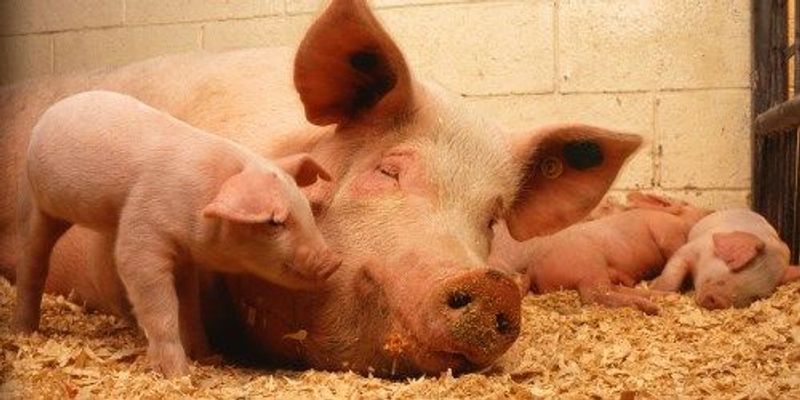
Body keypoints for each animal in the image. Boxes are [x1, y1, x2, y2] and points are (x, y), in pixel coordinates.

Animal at [12, 90, 341, 377]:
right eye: (274, 222)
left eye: (306, 208)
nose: (333, 262)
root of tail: (50, 113)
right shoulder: (142, 231)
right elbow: (160, 305)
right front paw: (178, 374)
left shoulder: (184, 257)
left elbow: (189, 307)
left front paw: (208, 358)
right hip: (40, 205)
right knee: (32, 261)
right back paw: (24, 331)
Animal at [490, 192, 711, 314]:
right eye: (688, 204)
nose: (707, 212)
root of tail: (533, 269)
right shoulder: (666, 232)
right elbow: (673, 250)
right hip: (589, 266)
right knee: (595, 296)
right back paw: (654, 307)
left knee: (613, 289)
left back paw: (661, 298)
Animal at [651, 209, 800, 309]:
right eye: (734, 269)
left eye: (755, 297)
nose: (719, 302)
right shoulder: (691, 248)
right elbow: (672, 276)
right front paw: (655, 287)